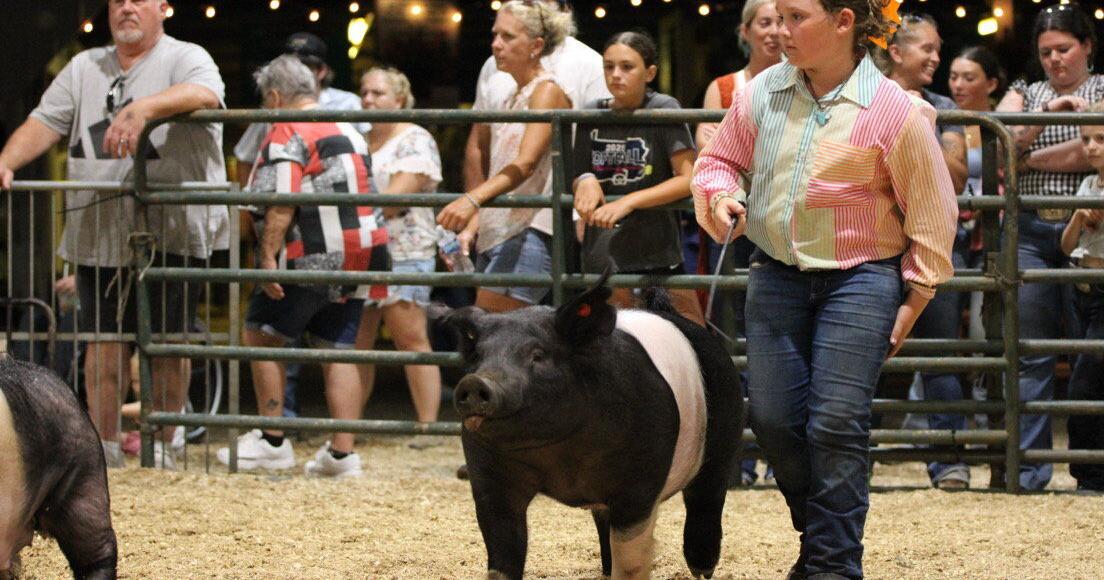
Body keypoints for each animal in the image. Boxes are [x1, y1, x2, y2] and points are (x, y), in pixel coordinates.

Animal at [439, 273, 740, 579]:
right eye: (479, 356)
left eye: (538, 355)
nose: (475, 382)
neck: (561, 454)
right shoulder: (490, 478)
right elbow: (502, 551)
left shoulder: (640, 483)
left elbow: (631, 558)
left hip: (724, 439)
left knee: (706, 500)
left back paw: (702, 568)